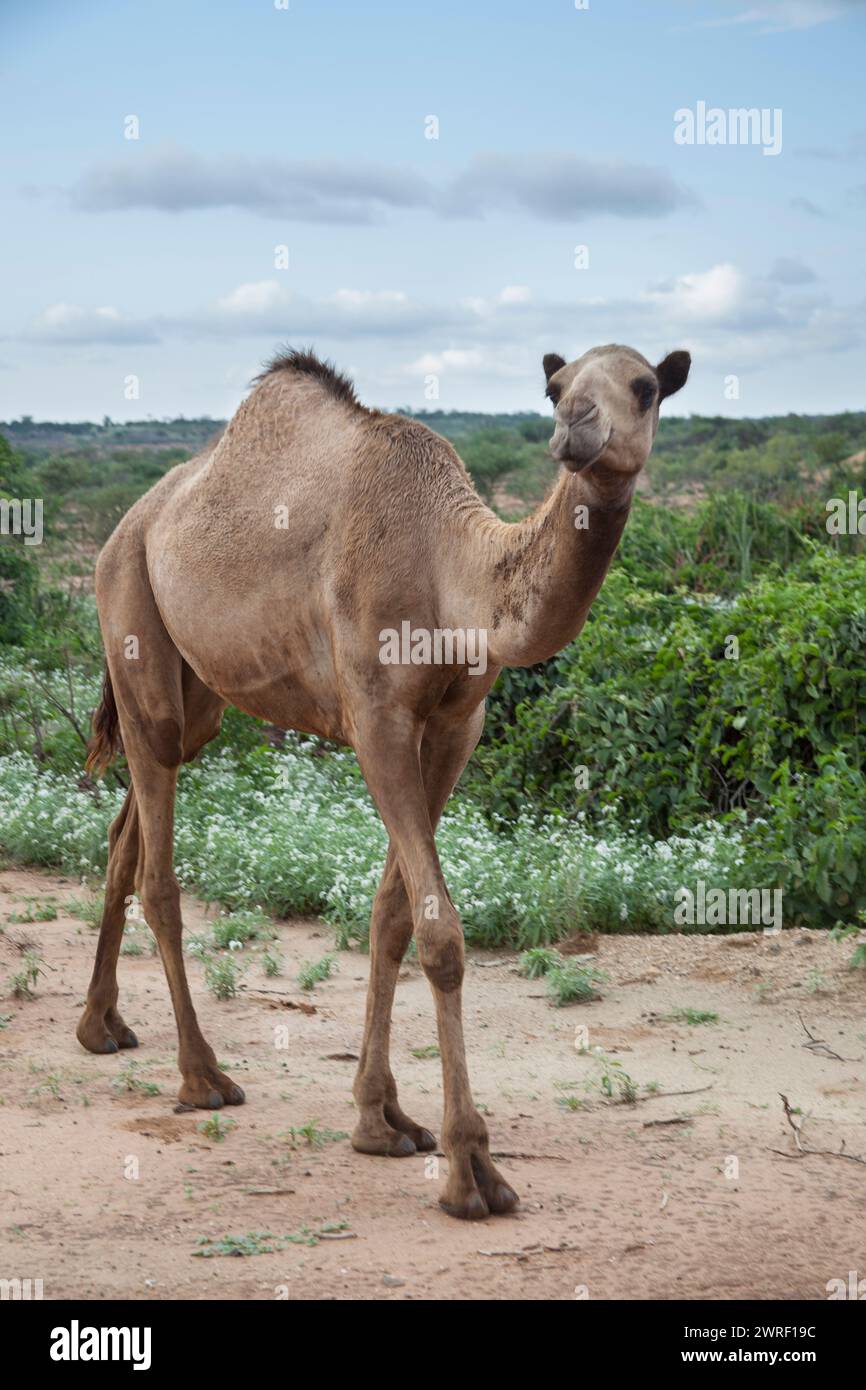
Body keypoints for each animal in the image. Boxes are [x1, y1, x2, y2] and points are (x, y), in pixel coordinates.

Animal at [79, 340, 690, 1221]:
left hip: (197, 698)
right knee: (160, 868)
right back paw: (202, 1076)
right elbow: (441, 933)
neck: (452, 570)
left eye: (645, 387)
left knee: (126, 830)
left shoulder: (457, 726)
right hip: (133, 627)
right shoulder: (377, 717)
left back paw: (101, 1026)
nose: (577, 427)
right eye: (555, 386)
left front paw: (382, 1118)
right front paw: (471, 1170)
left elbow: (392, 912)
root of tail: (126, 526)